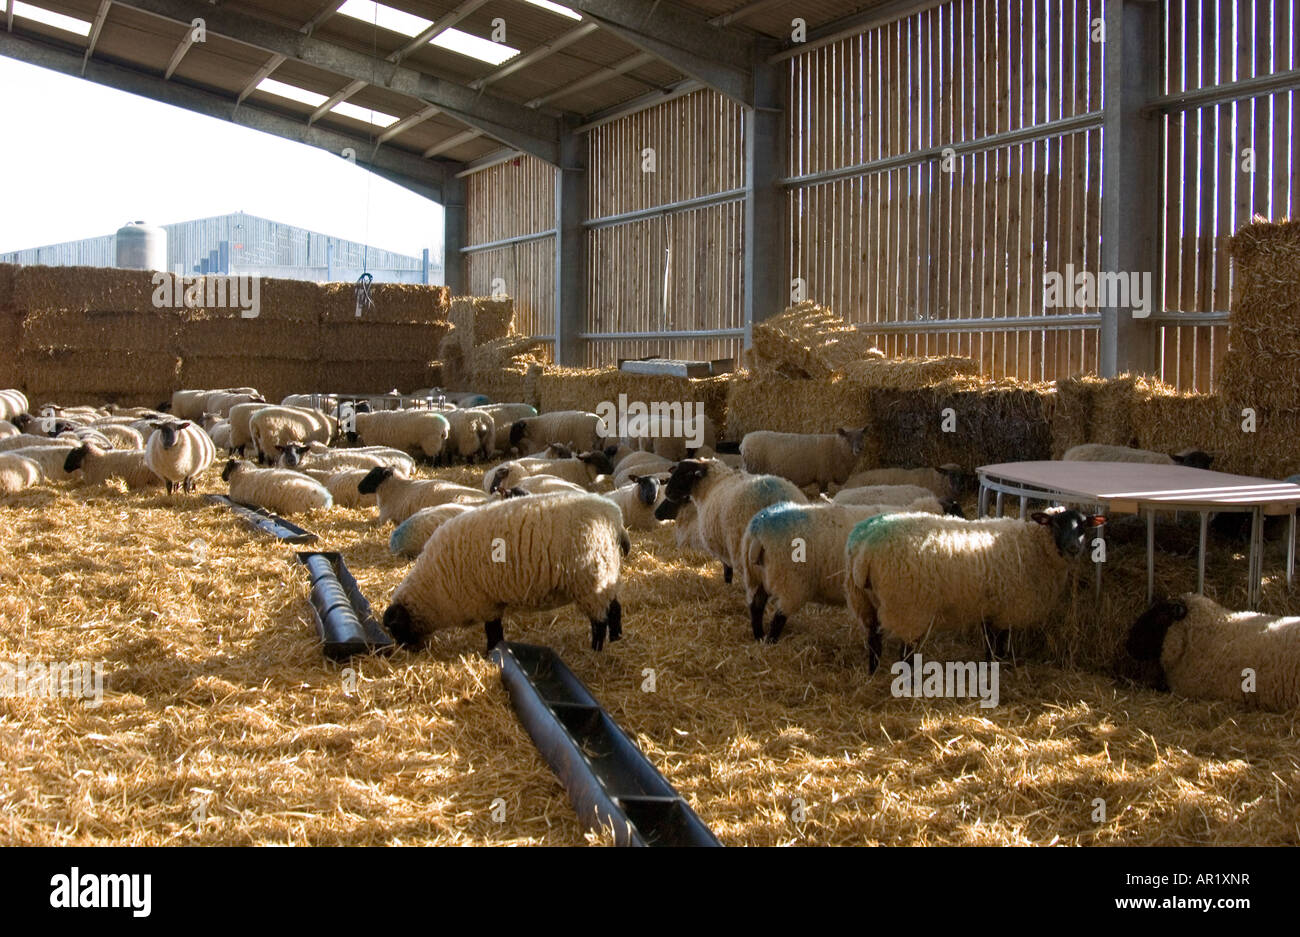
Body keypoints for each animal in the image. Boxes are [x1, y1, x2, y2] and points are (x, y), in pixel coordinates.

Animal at [381, 491, 629, 653]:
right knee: (614, 607)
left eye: (396, 629)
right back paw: (616, 637)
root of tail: (614, 515)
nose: (406, 651)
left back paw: (596, 648)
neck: (433, 587)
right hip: (605, 573)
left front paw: (491, 652)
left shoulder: (483, 602)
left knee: (599, 620)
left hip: (591, 579)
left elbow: (493, 631)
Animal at [740, 428, 870, 492]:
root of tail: (744, 441)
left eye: (862, 437)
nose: (859, 448)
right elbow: (824, 493)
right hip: (753, 468)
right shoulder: (823, 477)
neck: (836, 447)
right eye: (848, 438)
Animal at [741, 496, 947, 643]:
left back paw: (759, 637)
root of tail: (758, 529)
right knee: (779, 615)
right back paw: (770, 641)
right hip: (790, 580)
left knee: (756, 605)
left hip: (758, 576)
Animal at [844, 508, 1104, 672]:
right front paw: (997, 669)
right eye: (1056, 524)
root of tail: (864, 548)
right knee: (905, 653)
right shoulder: (1006, 611)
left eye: (1083, 526)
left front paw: (989, 668)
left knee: (874, 641)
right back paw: (909, 684)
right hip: (907, 607)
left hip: (864, 602)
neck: (1033, 545)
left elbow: (990, 643)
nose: (1074, 548)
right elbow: (999, 645)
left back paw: (872, 674)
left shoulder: (990, 608)